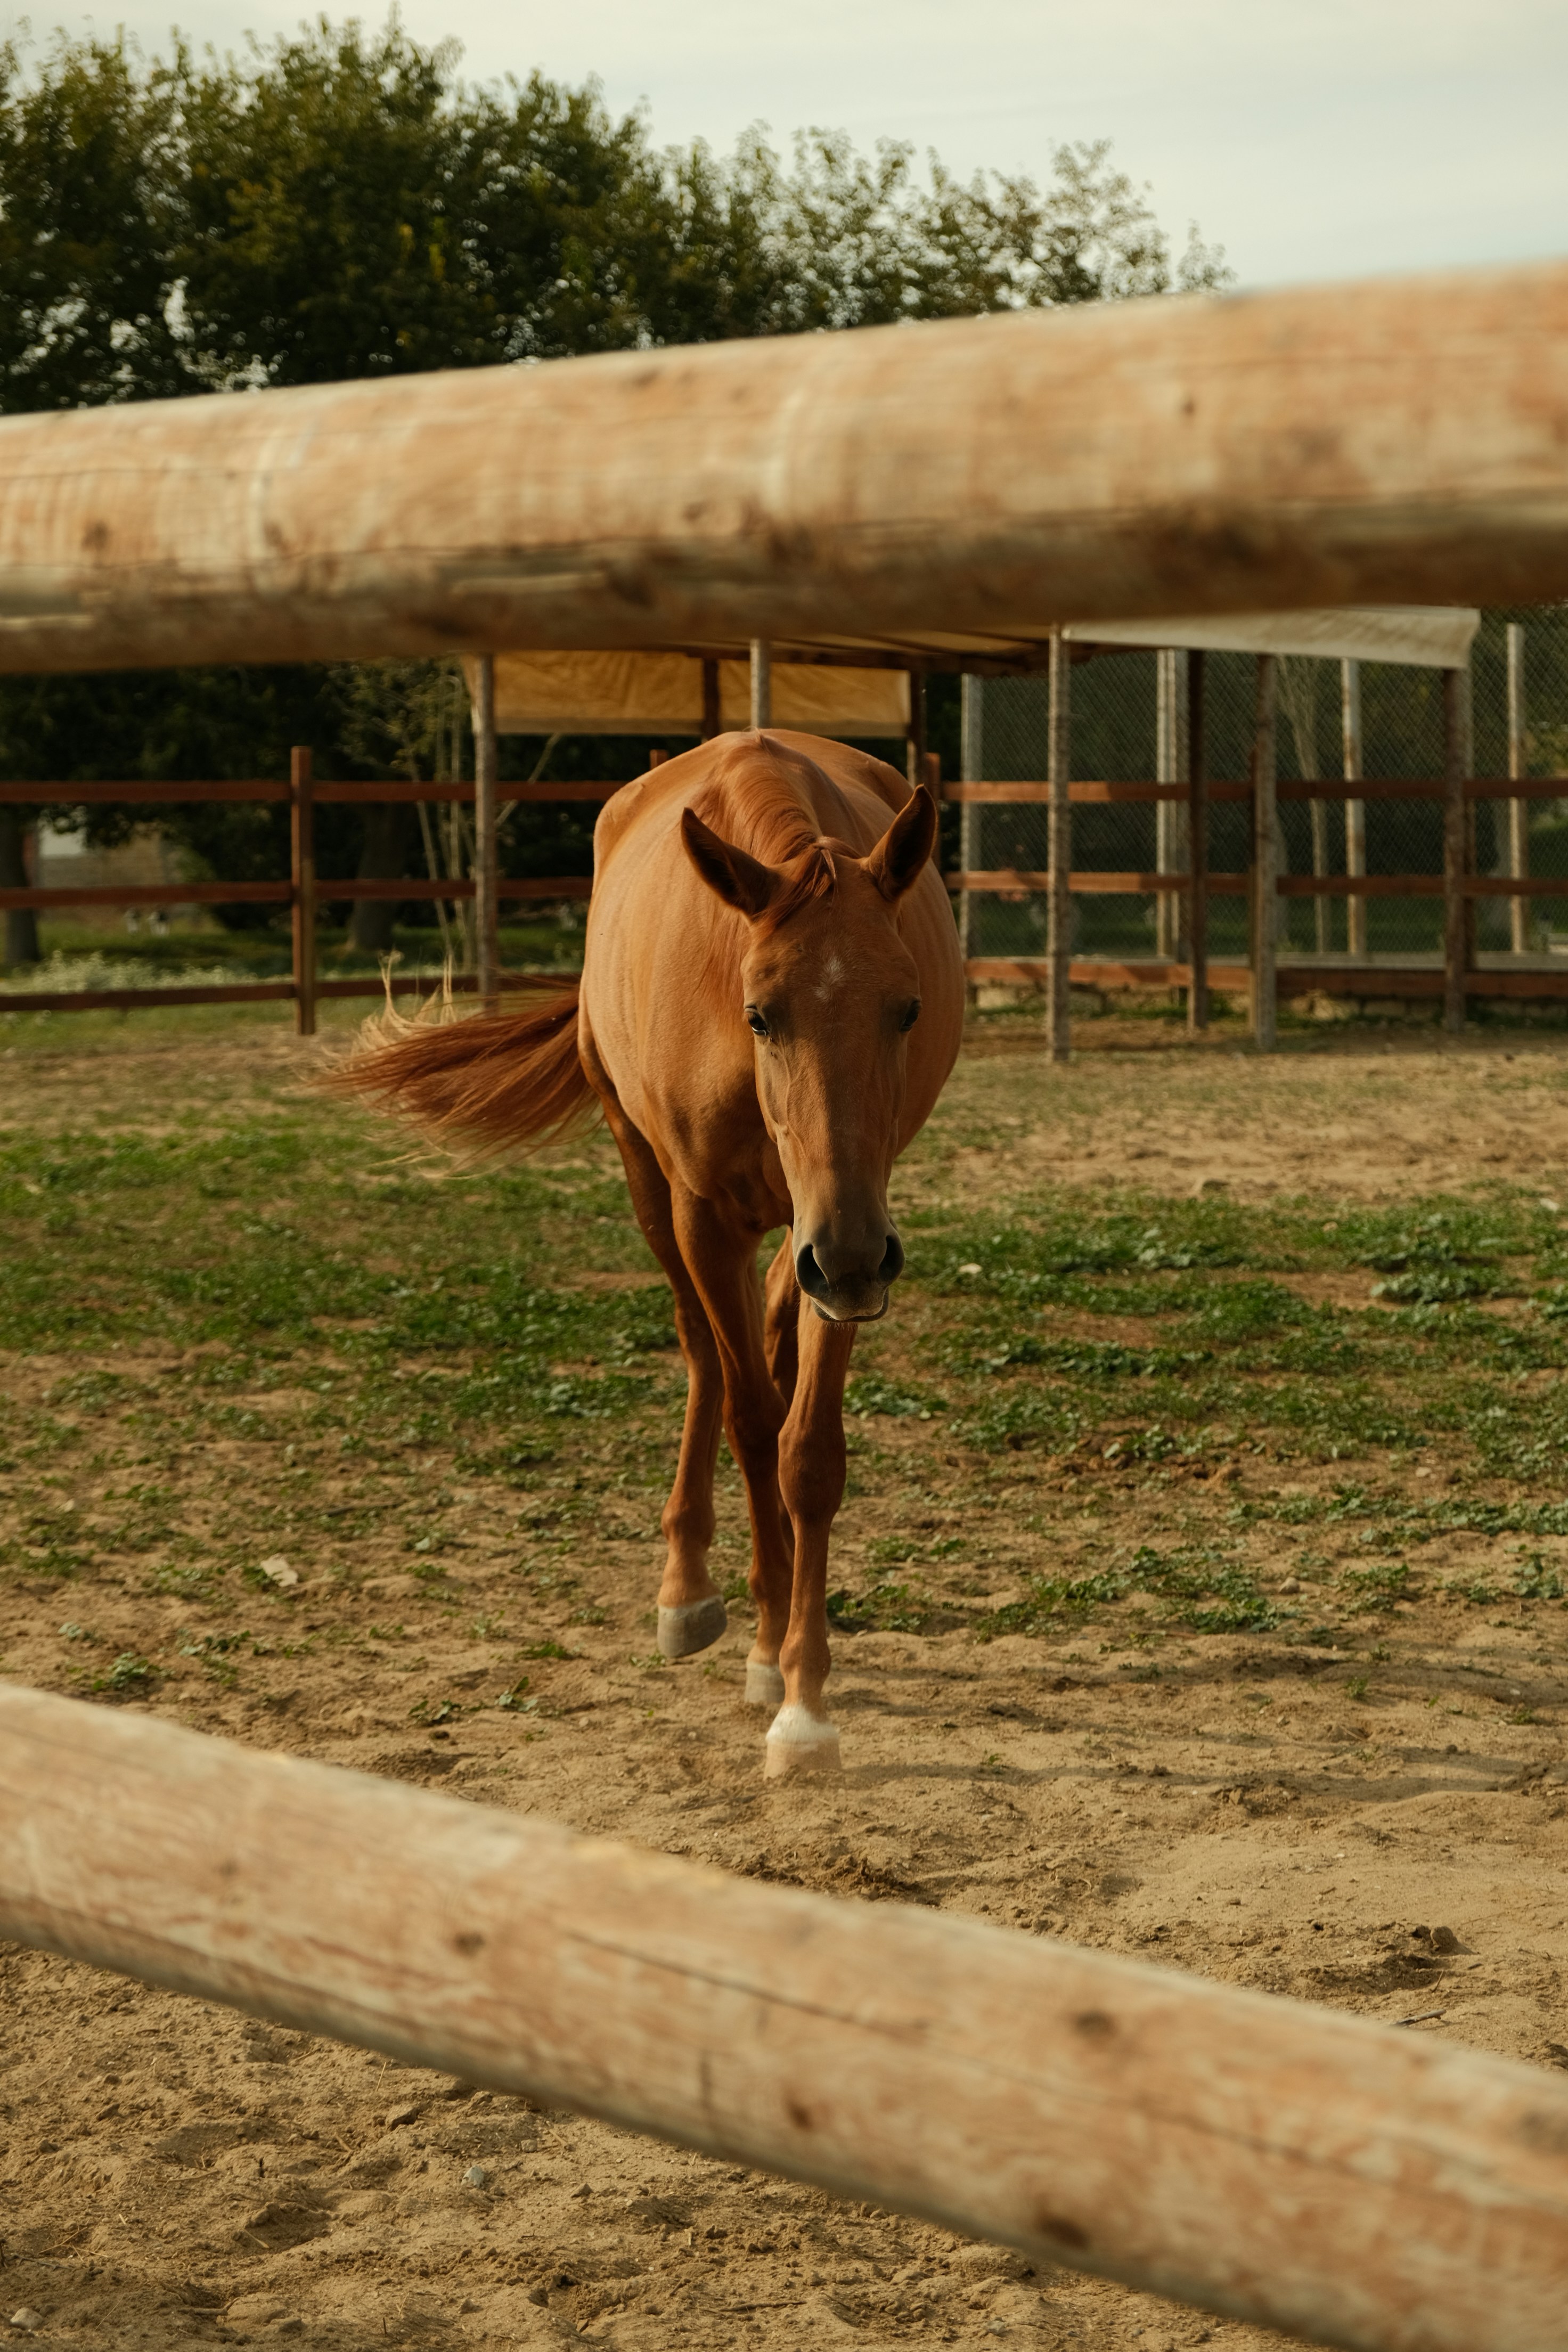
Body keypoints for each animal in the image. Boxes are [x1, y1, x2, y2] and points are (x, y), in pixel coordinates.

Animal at [334, 728, 964, 1775]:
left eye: (907, 1009)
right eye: (761, 1014)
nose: (849, 1258)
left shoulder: (849, 1224)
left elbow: (807, 1452)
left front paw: (805, 1698)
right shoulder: (714, 1216)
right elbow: (749, 1420)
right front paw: (767, 1655)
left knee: (767, 1324)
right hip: (652, 1183)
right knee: (706, 1353)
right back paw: (689, 1587)